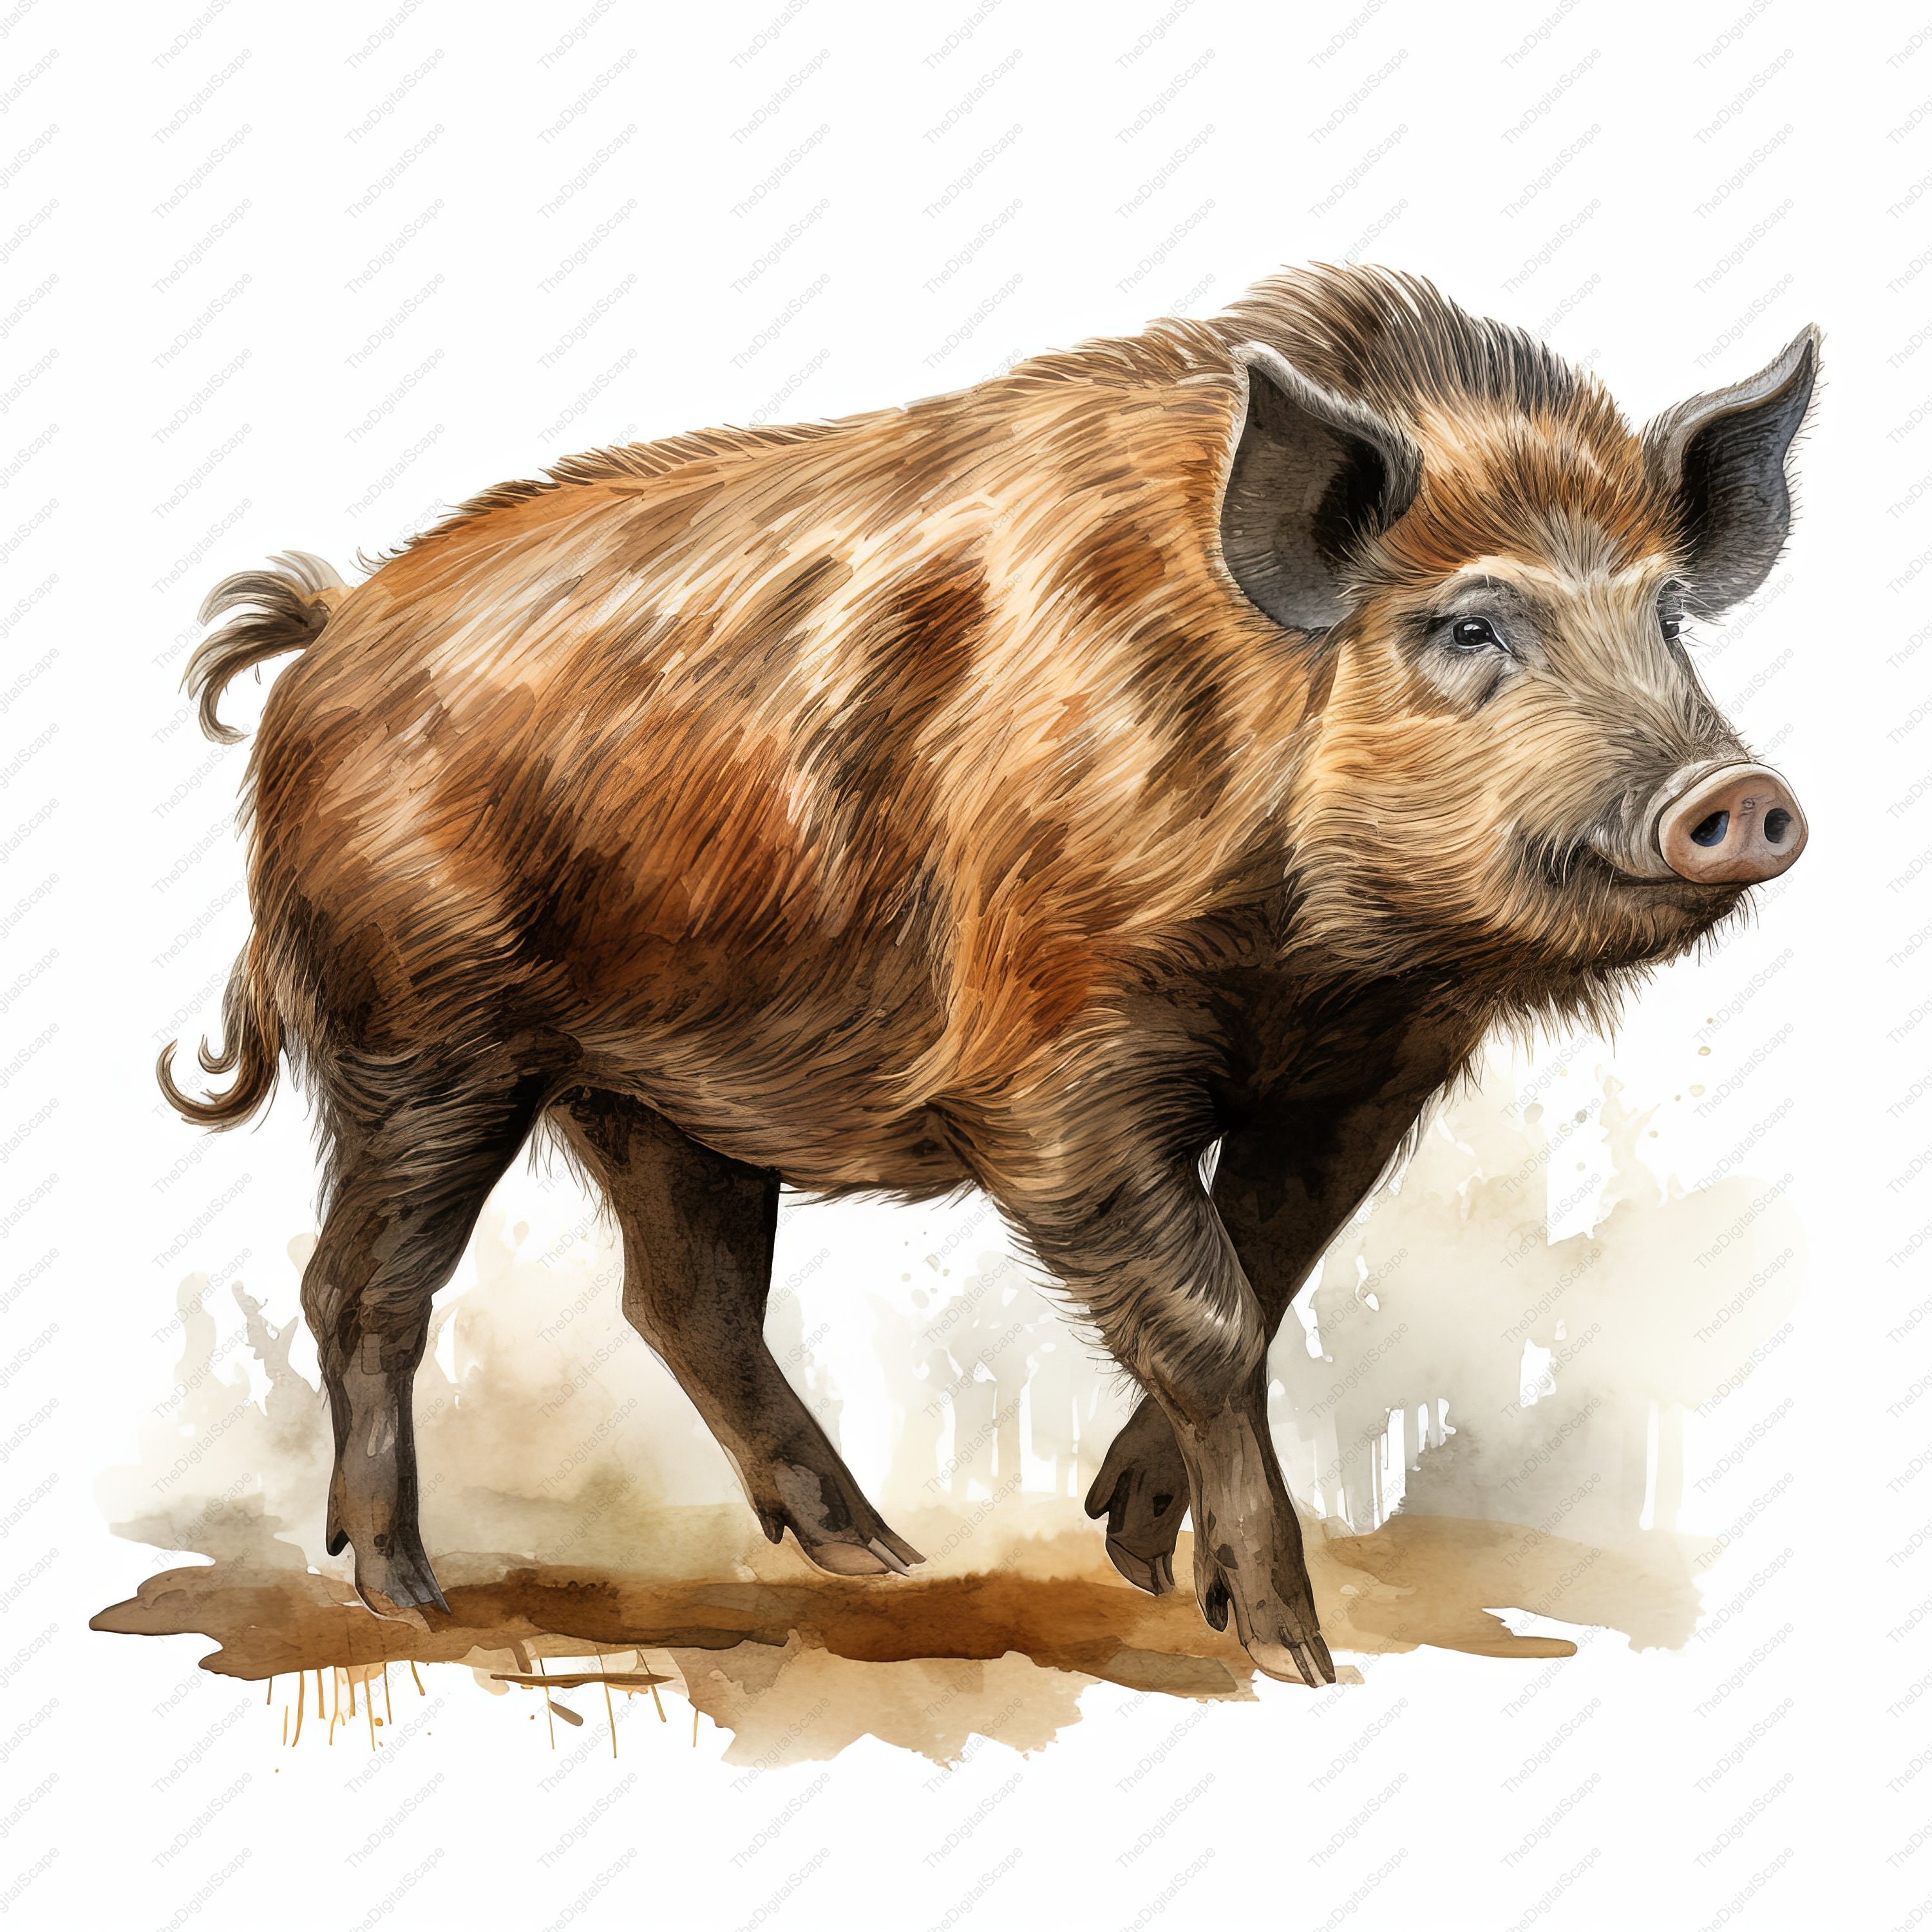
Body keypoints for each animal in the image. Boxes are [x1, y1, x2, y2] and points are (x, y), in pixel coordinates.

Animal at [161, 264, 1816, 1687]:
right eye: (1468, 625)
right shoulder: (1047, 1067)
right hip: (416, 1026)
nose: (1738, 796)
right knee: (365, 1286)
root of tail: (325, 629)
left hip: (656, 1084)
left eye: (1667, 614)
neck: (1316, 955)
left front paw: (1138, 1559)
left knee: (679, 1296)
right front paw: (1291, 1650)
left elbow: (1266, 1272)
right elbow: (1209, 1312)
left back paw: (877, 1562)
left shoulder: (1361, 1073)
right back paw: (408, 1596)